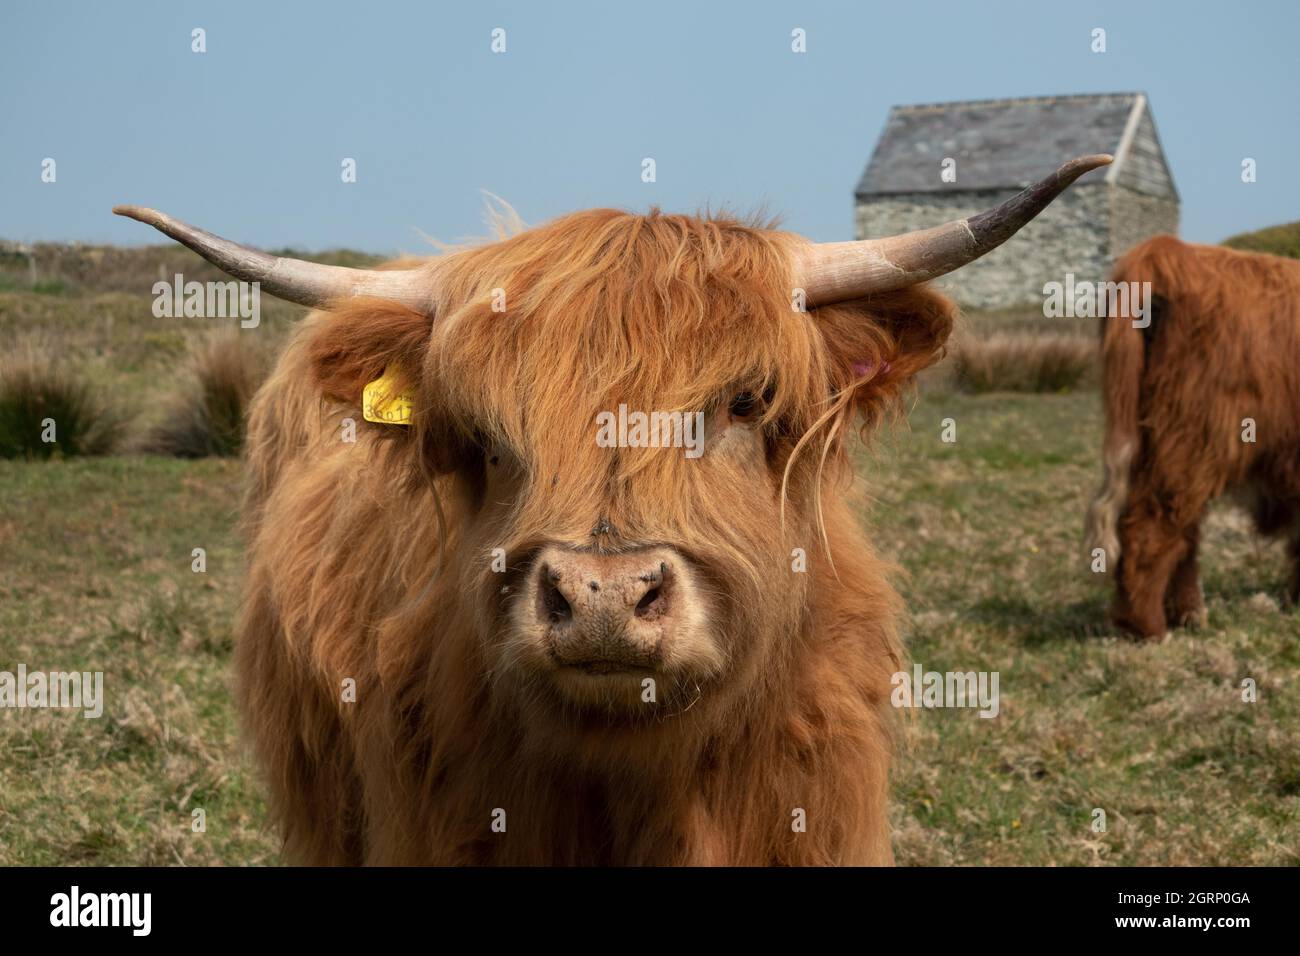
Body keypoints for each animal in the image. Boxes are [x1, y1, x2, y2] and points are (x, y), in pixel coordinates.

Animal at [1086, 235, 1300, 640]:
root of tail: (1168, 250)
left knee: (1182, 529)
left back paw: (1186, 615)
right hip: (1193, 438)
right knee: (1154, 522)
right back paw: (1148, 627)